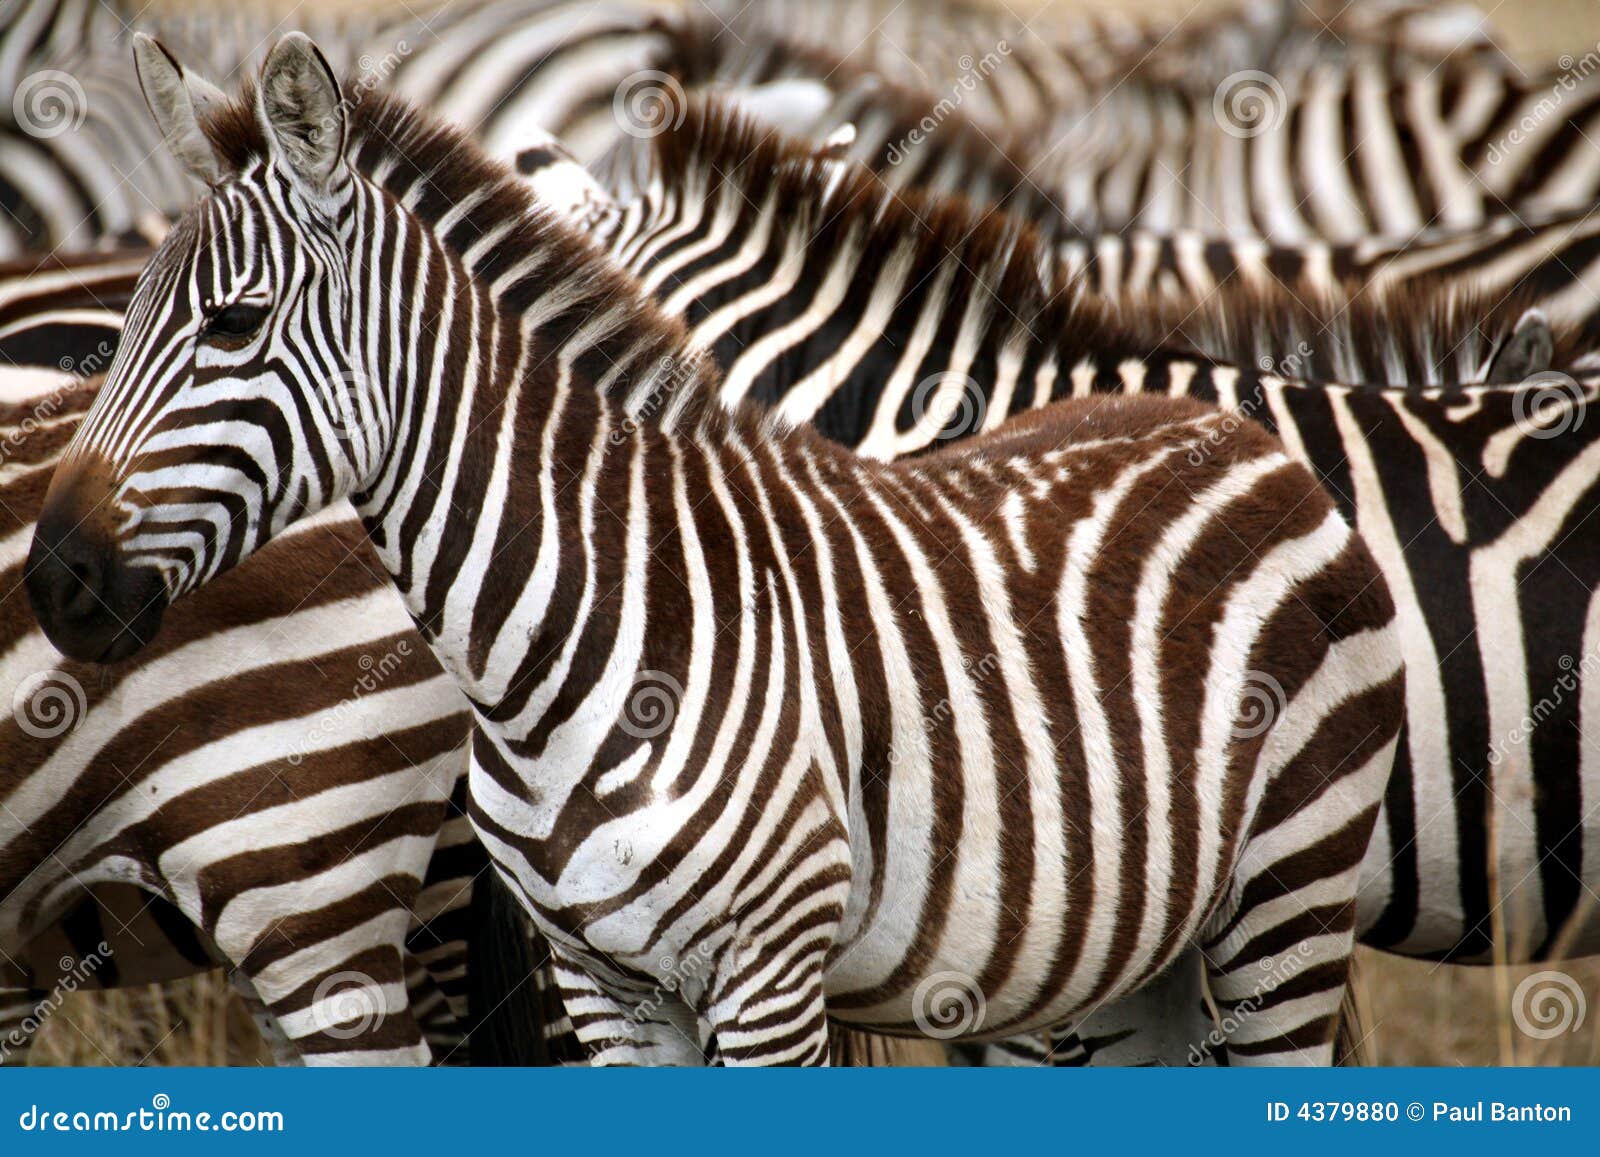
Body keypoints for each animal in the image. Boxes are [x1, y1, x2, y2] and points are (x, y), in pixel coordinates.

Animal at [30, 34, 1404, 1065]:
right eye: (119, 319)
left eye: (232, 321)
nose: (52, 579)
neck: (565, 644)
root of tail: (1226, 422)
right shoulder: (606, 988)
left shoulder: (770, 975)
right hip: (1138, 944)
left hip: (1288, 889)